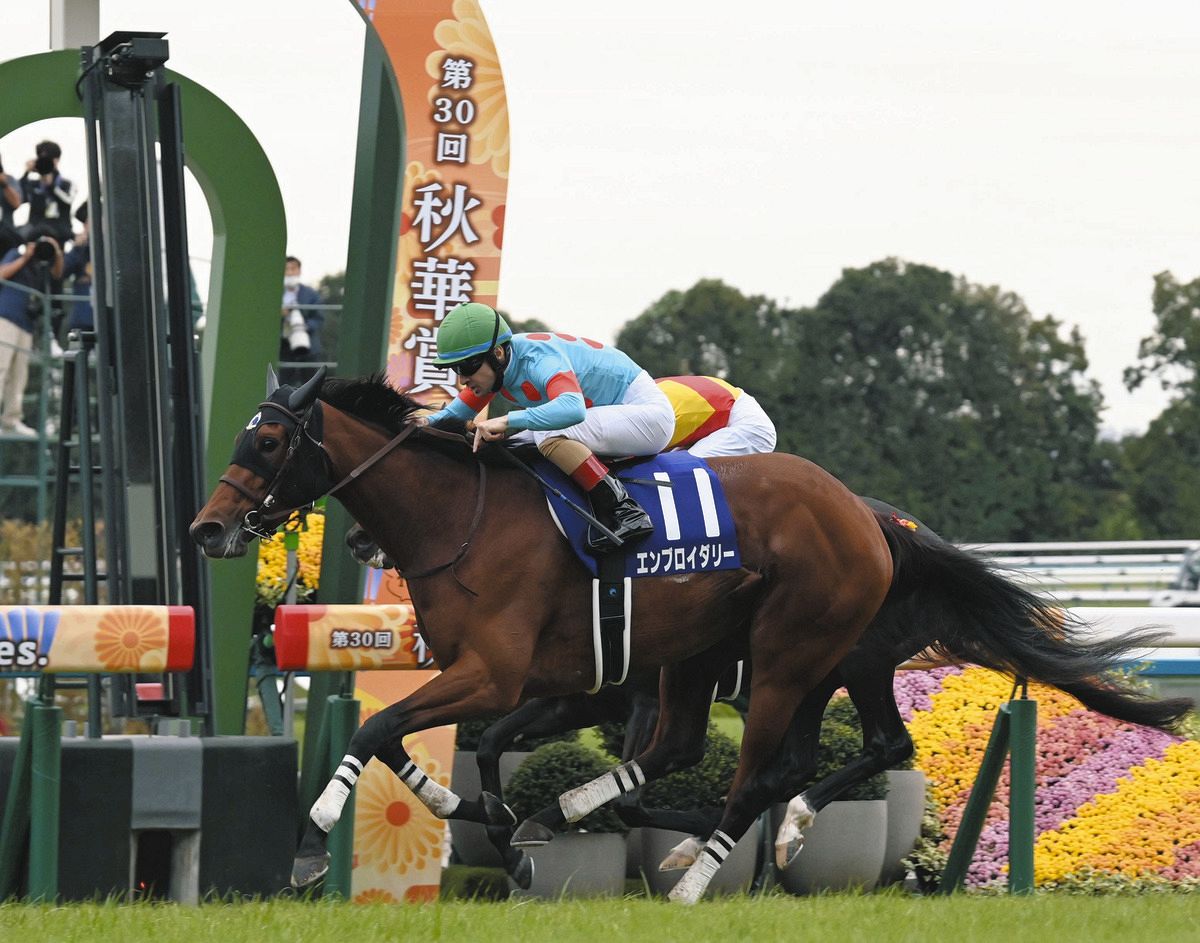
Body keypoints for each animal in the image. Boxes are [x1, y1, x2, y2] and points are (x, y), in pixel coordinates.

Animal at [190, 371, 1192, 902]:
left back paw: (693, 874)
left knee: (763, 770)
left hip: (799, 652)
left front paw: (316, 834)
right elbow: (427, 740)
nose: (207, 529)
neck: (463, 518)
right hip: (753, 657)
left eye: (268, 443)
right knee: (829, 749)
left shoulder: (510, 673)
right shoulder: (536, 683)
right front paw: (481, 815)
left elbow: (376, 725)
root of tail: (875, 521)